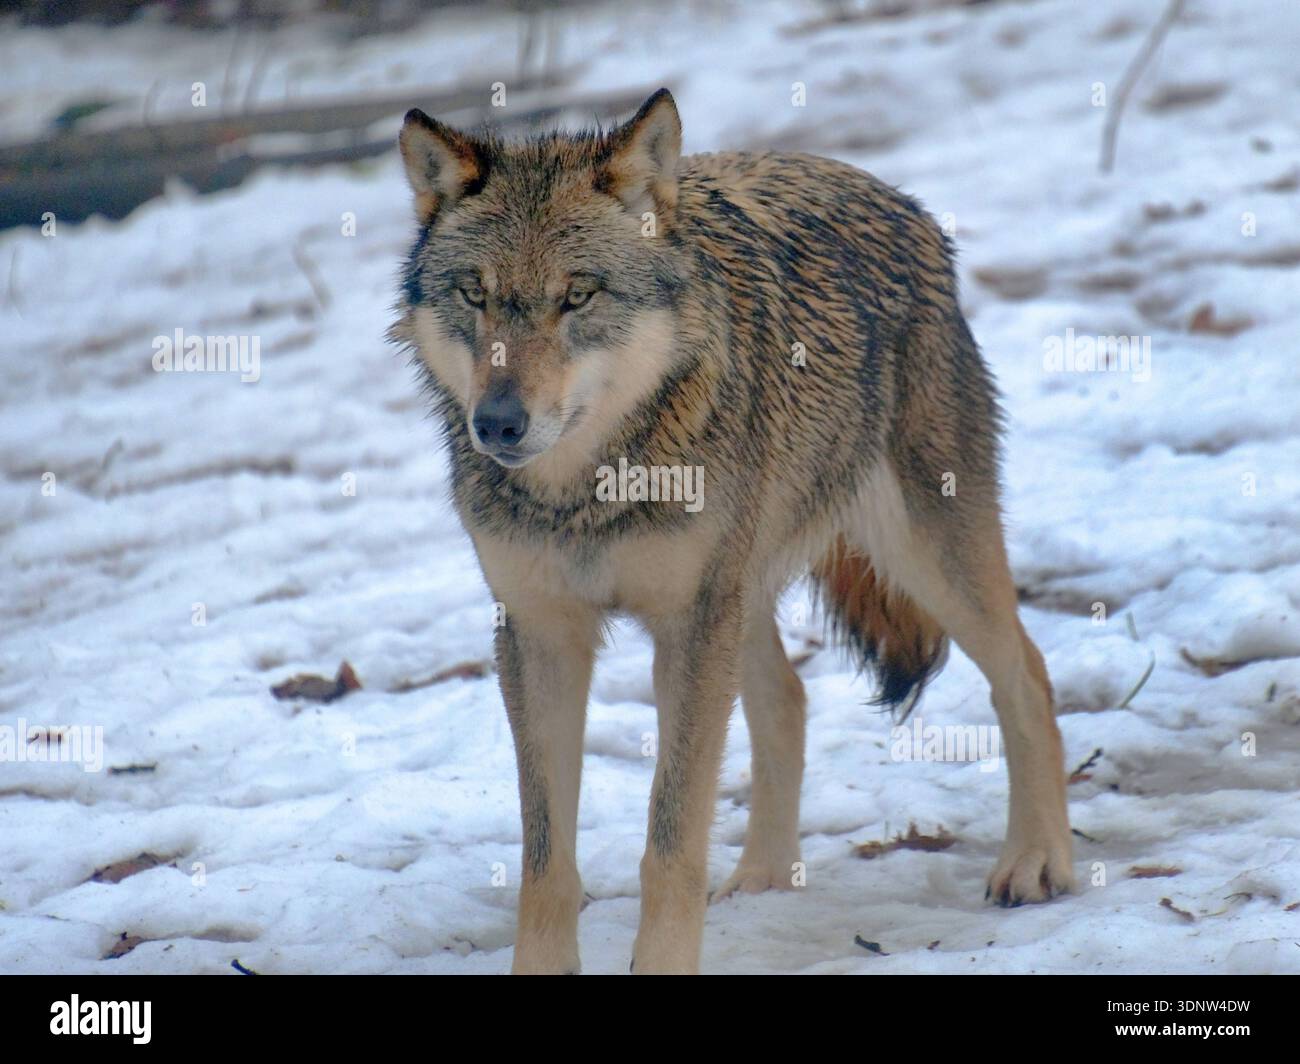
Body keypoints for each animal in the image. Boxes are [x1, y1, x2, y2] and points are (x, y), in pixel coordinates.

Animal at [390, 88, 1074, 974]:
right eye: (475, 295)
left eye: (578, 295)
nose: (497, 423)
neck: (587, 491)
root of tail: (896, 198)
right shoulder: (540, 633)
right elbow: (545, 858)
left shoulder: (687, 623)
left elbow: (670, 839)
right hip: (742, 596)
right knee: (787, 700)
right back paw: (762, 882)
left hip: (916, 559)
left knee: (1026, 671)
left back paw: (1037, 860)